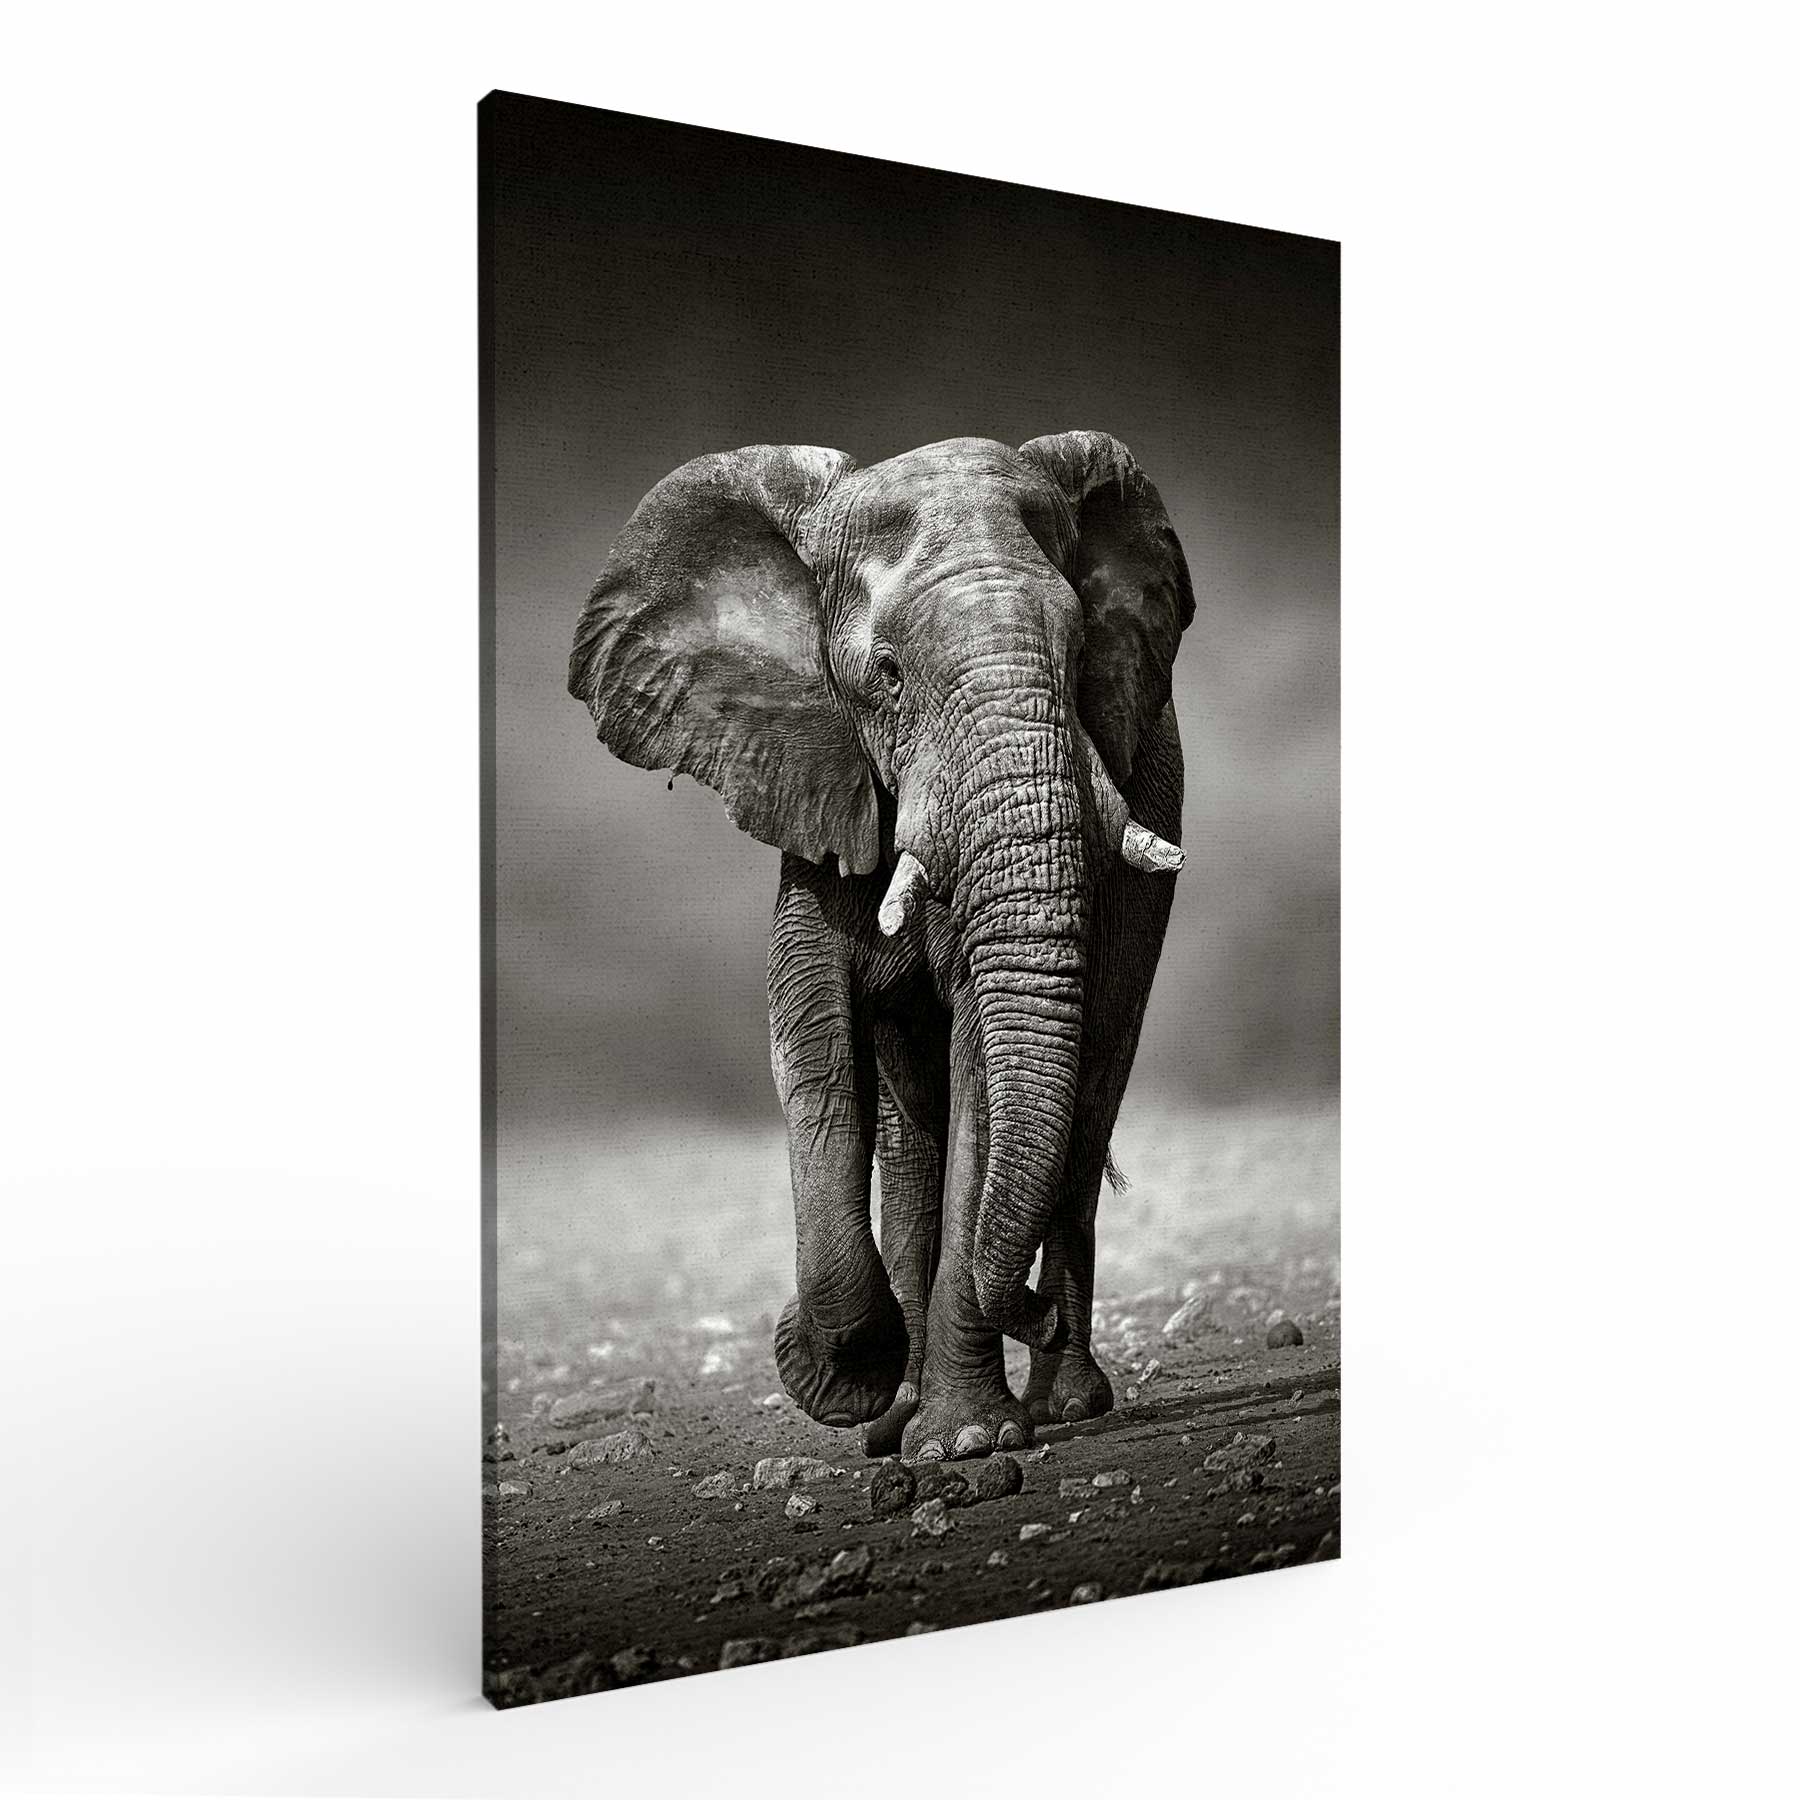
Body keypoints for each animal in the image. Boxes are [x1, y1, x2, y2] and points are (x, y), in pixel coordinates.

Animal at [568, 433, 1192, 1461]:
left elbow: (985, 1072)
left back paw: (1061, 1404)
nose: (1031, 1312)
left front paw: (963, 1443)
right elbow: (815, 1055)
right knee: (912, 1135)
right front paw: (848, 1383)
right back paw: (901, 1413)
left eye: (1076, 660)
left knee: (1089, 1085)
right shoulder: (816, 784)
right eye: (889, 674)